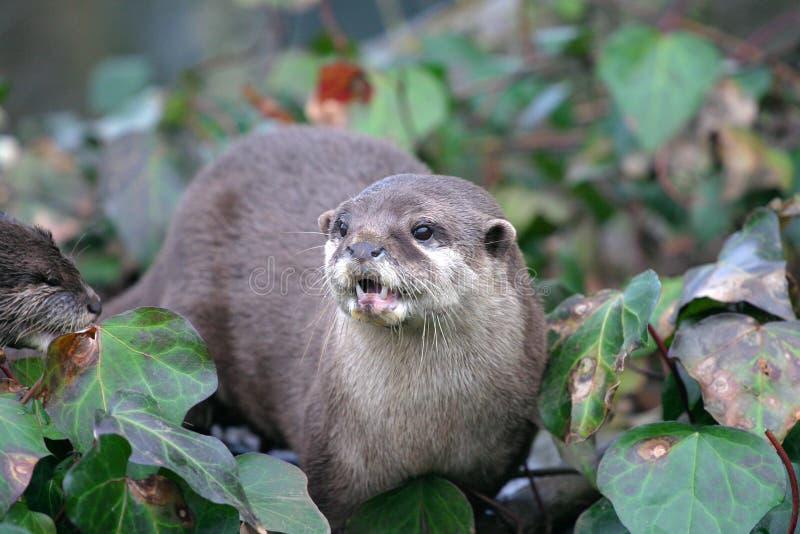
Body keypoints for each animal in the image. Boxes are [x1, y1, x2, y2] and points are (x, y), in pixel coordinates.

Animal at [104, 126, 547, 526]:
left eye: (422, 230)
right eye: (344, 226)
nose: (362, 246)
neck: (426, 426)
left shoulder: (496, 455)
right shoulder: (331, 455)